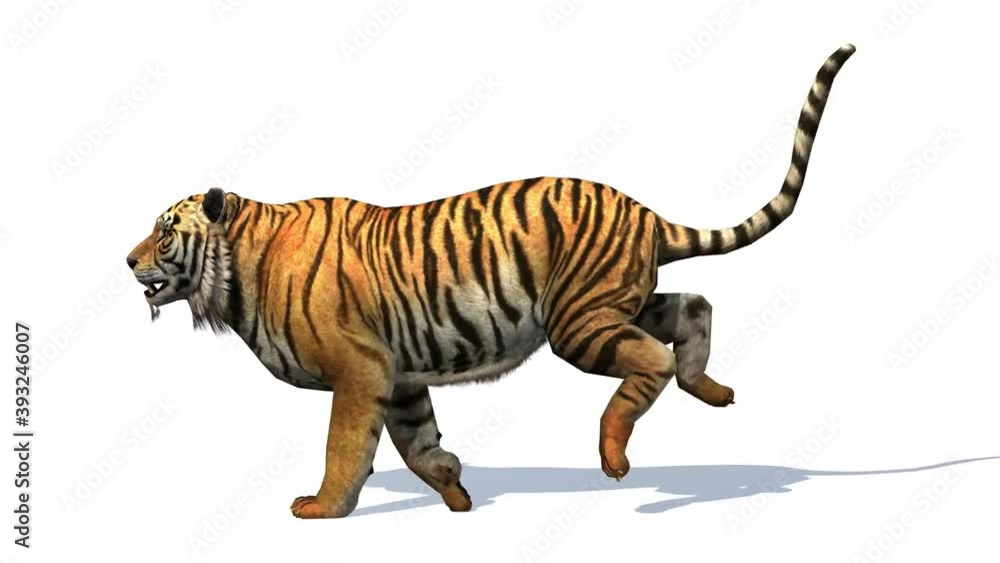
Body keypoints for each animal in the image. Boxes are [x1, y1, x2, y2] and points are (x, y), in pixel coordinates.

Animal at [126, 45, 854, 518]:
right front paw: (455, 492)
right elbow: (418, 442)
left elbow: (344, 444)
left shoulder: (358, 368)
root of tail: (644, 213)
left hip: (578, 323)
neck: (239, 265)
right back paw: (714, 390)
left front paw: (321, 507)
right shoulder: (398, 373)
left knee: (651, 358)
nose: (127, 262)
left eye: (164, 231)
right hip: (614, 301)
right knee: (695, 306)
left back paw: (615, 456)